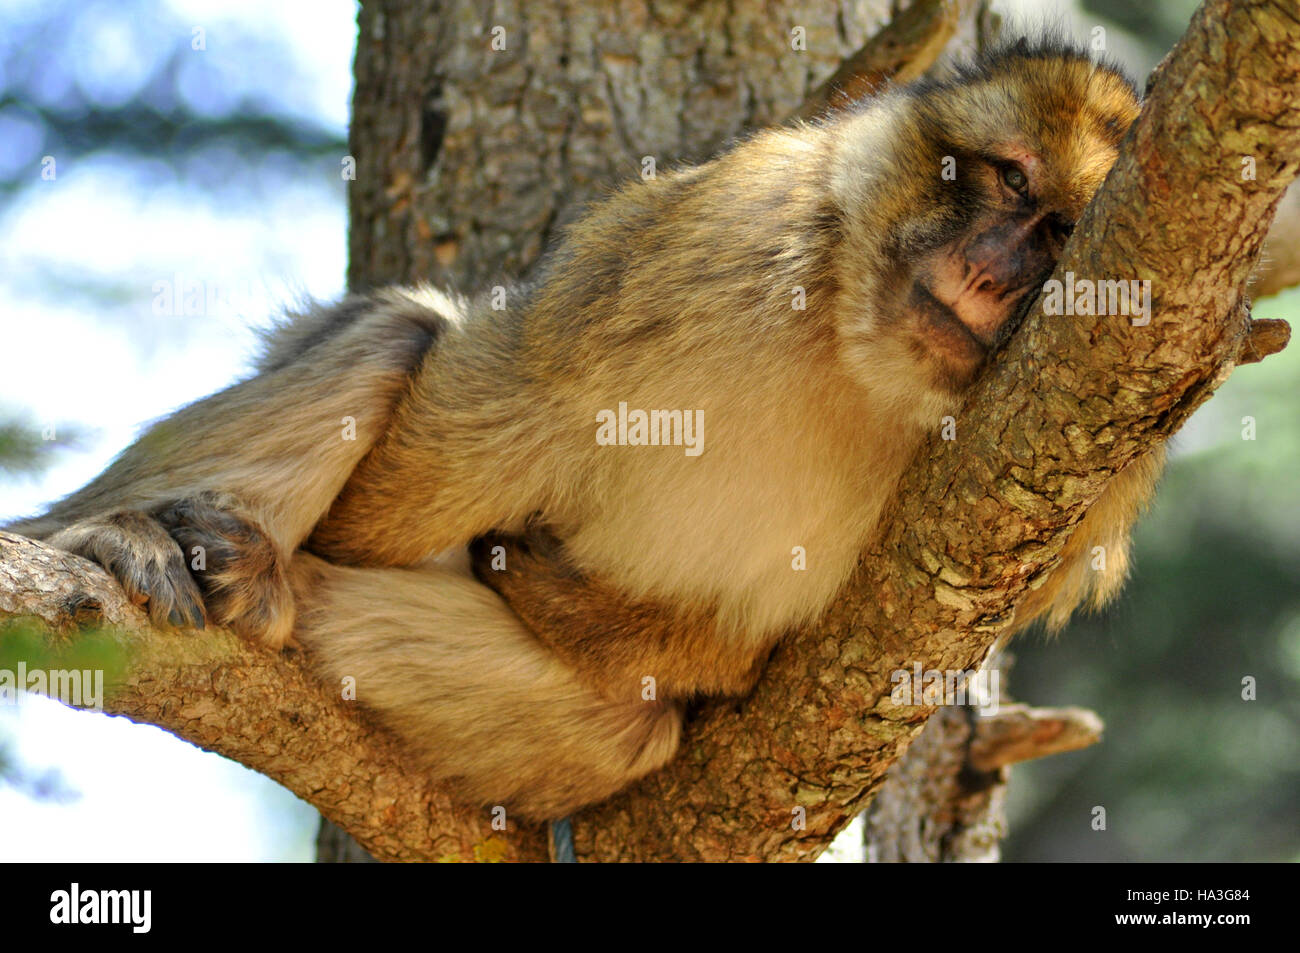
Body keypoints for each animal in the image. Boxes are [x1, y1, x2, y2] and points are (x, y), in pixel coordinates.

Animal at [6, 39, 1163, 819]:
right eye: (1006, 177)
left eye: (1057, 233)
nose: (989, 271)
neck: (866, 368)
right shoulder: (729, 233)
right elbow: (513, 389)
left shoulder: (1087, 498)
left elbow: (722, 657)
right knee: (397, 335)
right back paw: (106, 534)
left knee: (628, 724)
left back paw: (285, 595)